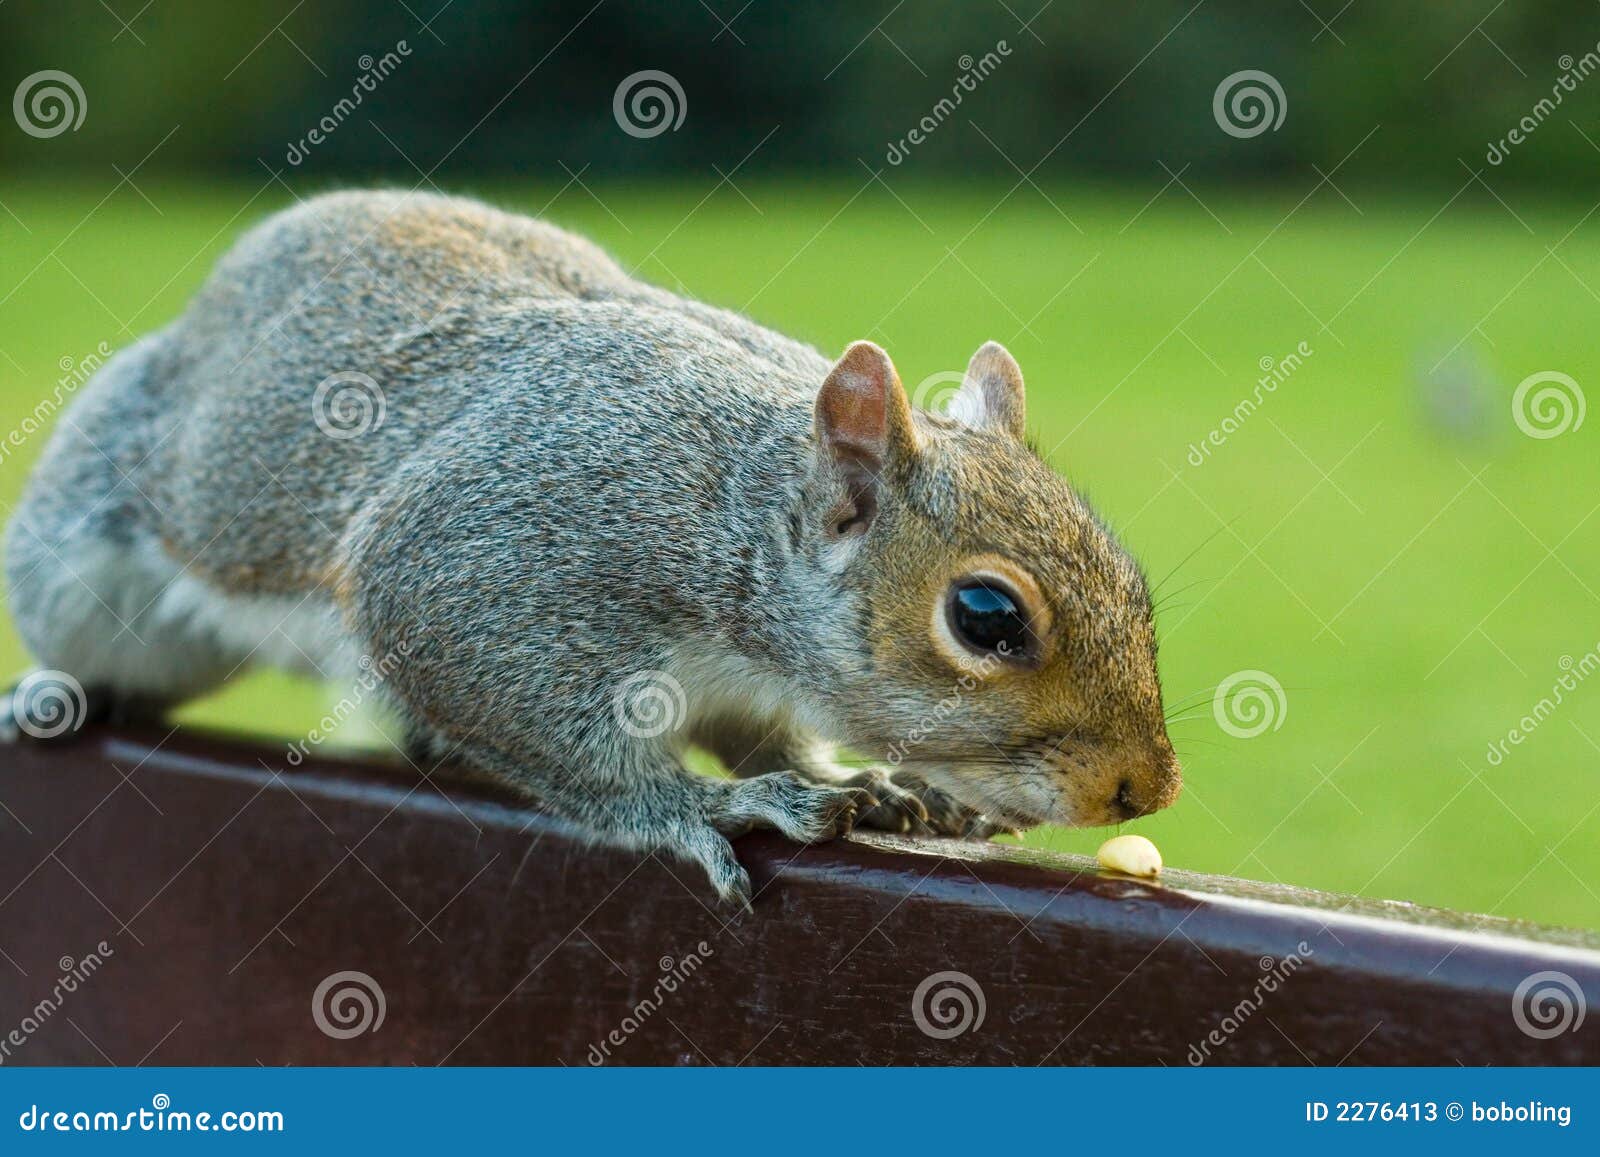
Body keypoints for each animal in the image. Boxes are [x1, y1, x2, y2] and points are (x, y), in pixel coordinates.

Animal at [3, 190, 1180, 905]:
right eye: (985, 617)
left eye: (1137, 584)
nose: (1145, 790)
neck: (732, 513)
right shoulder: (484, 561)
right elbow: (562, 742)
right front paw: (704, 805)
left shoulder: (739, 679)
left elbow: (761, 732)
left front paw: (869, 783)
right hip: (95, 565)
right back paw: (57, 691)